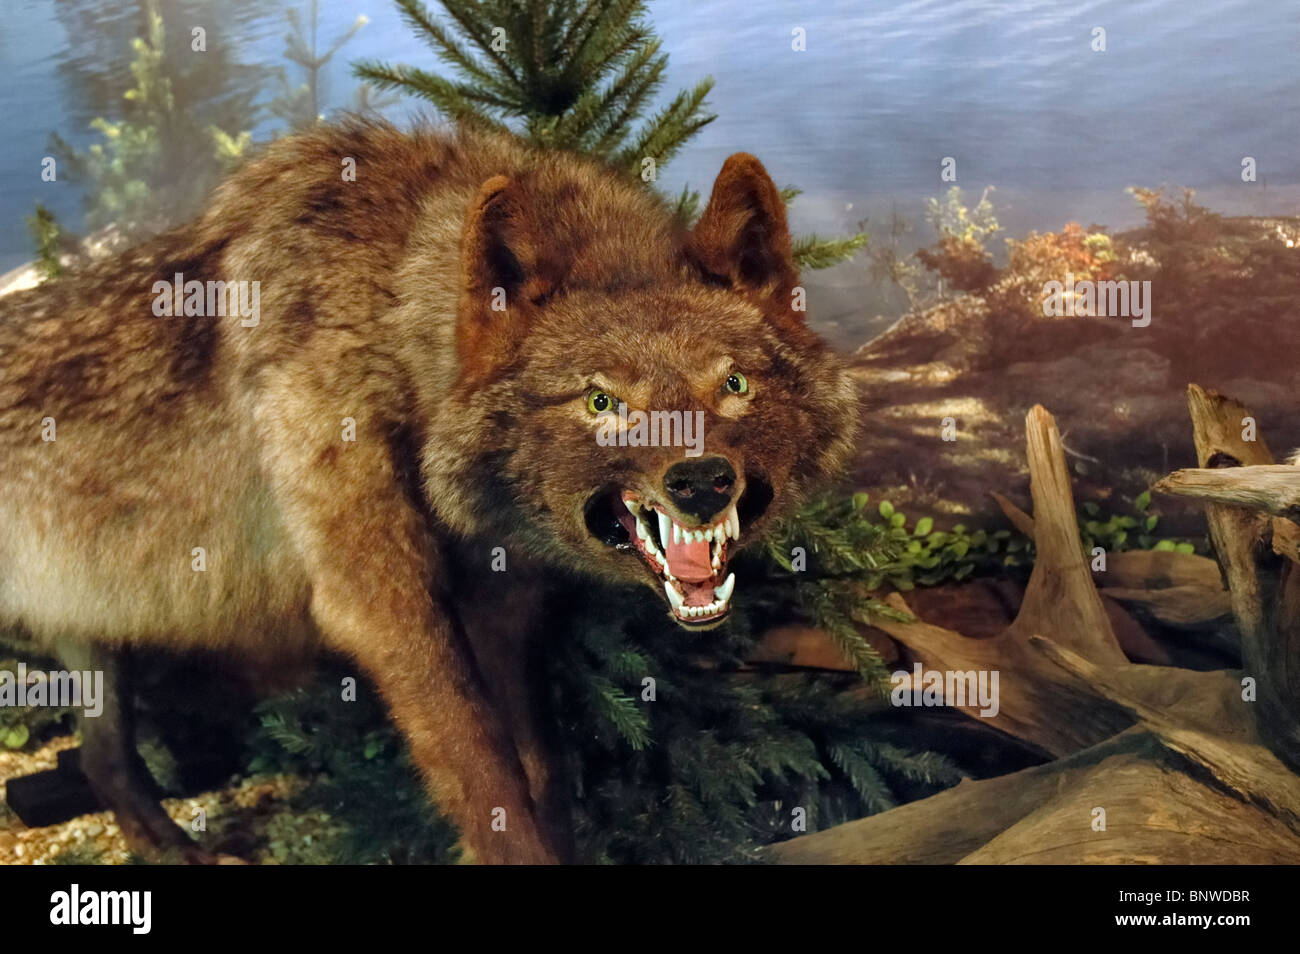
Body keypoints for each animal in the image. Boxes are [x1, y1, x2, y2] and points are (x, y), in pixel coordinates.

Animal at [0, 120, 859, 863]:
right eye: (602, 401)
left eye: (734, 385)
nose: (701, 480)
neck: (387, 316)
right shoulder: (383, 607)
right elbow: (488, 789)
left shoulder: (501, 602)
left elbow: (540, 775)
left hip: (96, 651)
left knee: (105, 762)